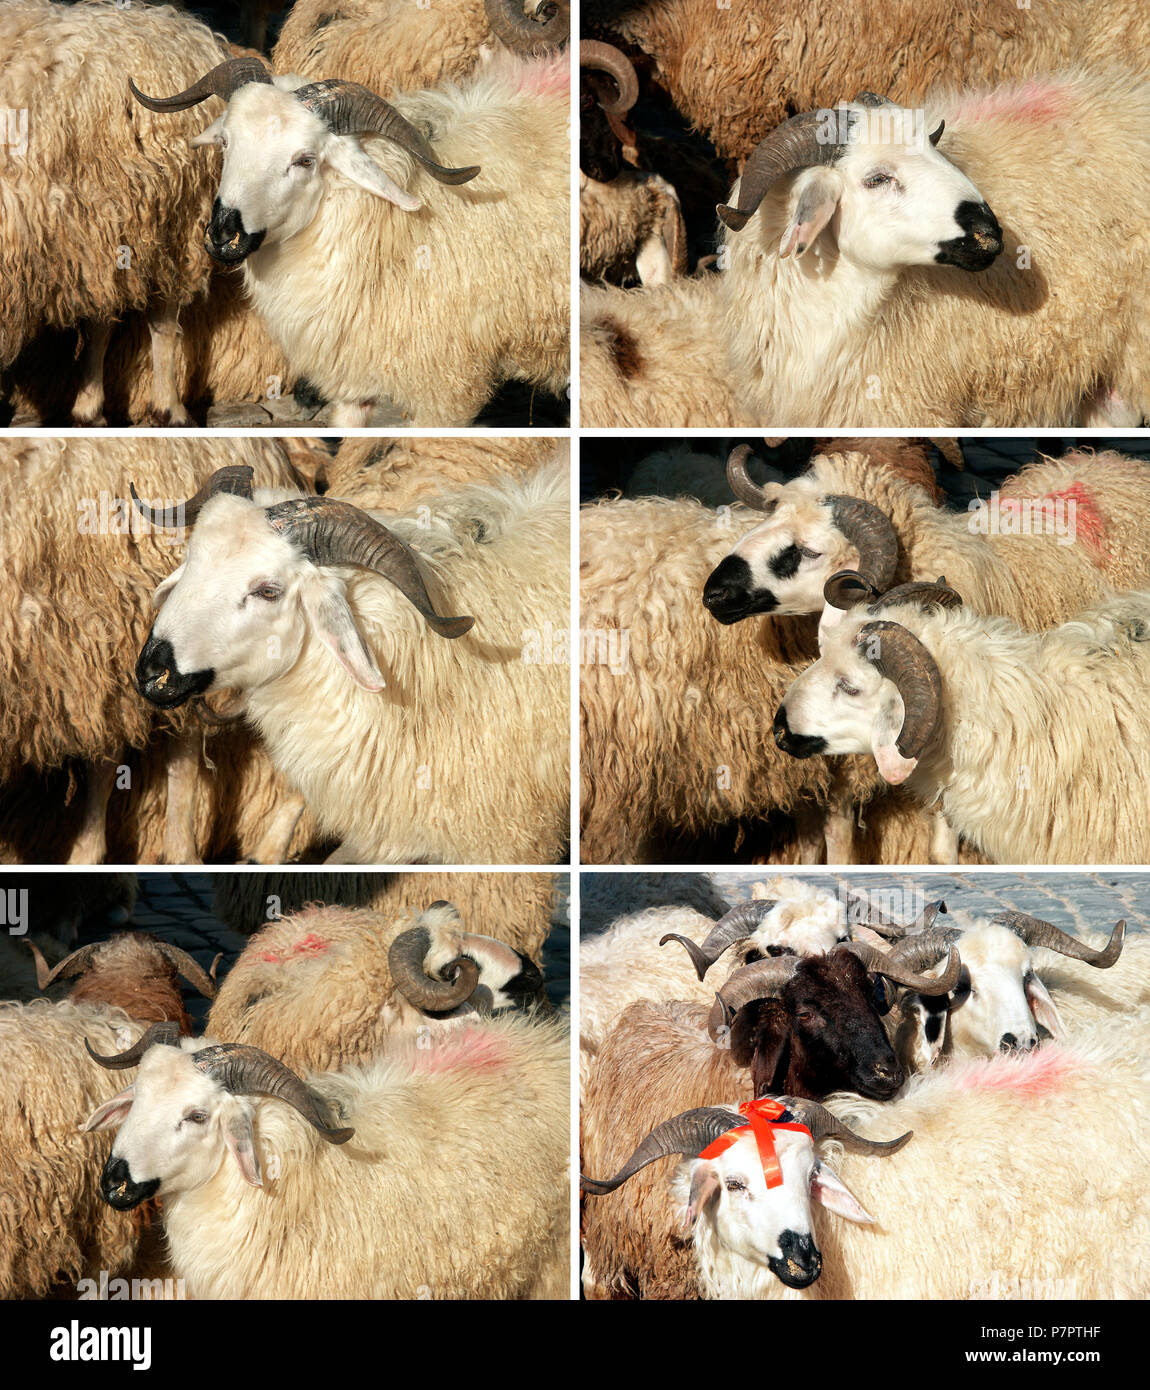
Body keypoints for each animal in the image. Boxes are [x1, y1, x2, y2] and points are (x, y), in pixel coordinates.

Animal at [0, 0, 237, 424]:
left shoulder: (107, 232)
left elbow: (105, 324)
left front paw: (90, 408)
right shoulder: (161, 229)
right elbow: (155, 324)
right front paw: (169, 409)